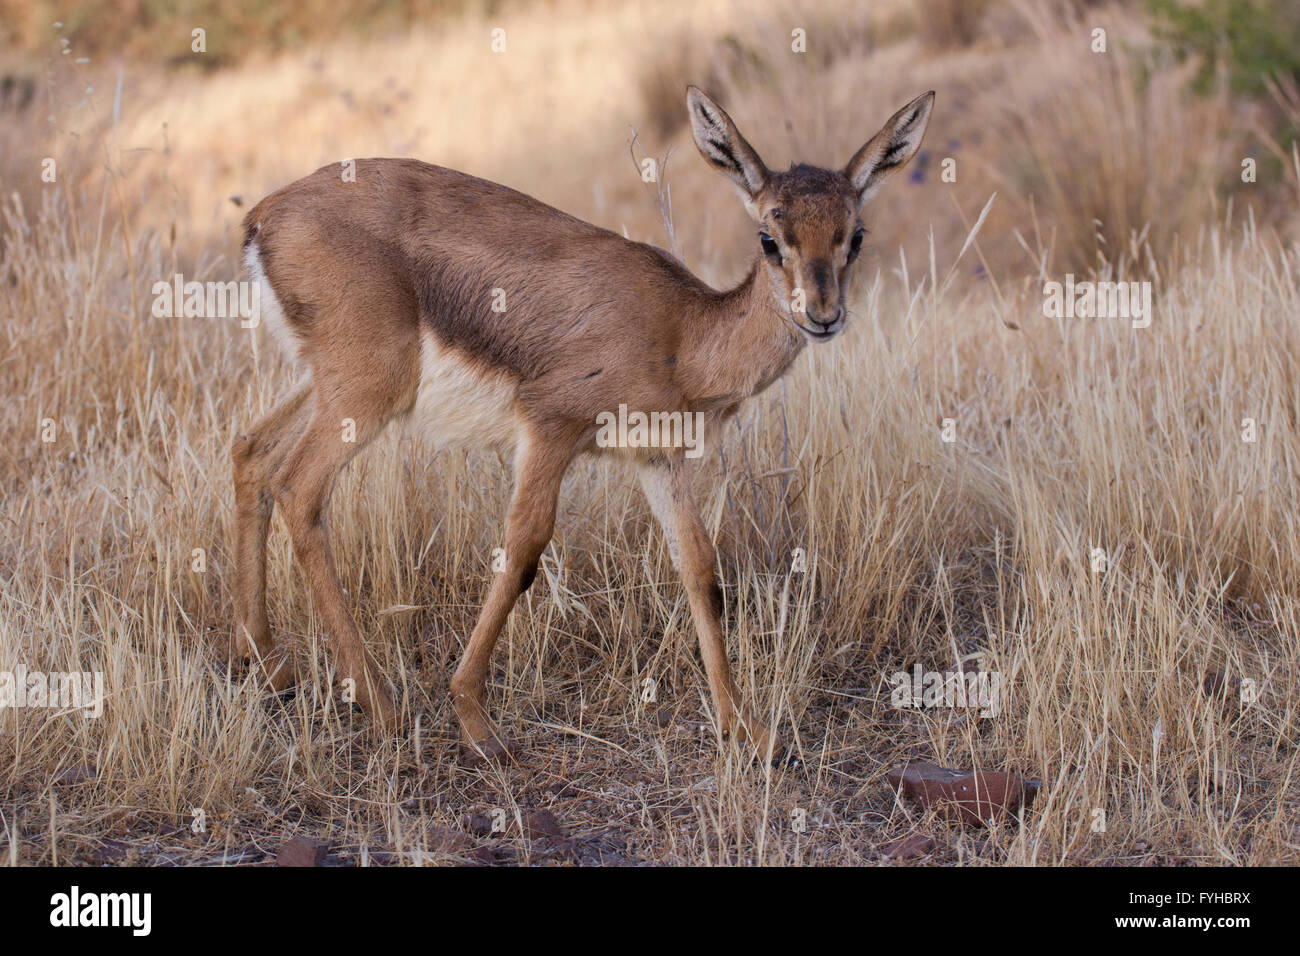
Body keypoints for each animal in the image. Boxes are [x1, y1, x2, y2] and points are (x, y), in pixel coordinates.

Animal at [231, 86, 934, 762]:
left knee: (251, 452)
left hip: (328, 384)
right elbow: (523, 550)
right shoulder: (550, 427)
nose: (823, 316)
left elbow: (700, 570)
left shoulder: (657, 460)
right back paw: (381, 706)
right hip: (366, 392)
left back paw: (270, 666)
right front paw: (475, 720)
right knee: (299, 488)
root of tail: (264, 214)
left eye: (854, 234)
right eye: (769, 237)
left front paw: (750, 731)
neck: (683, 332)